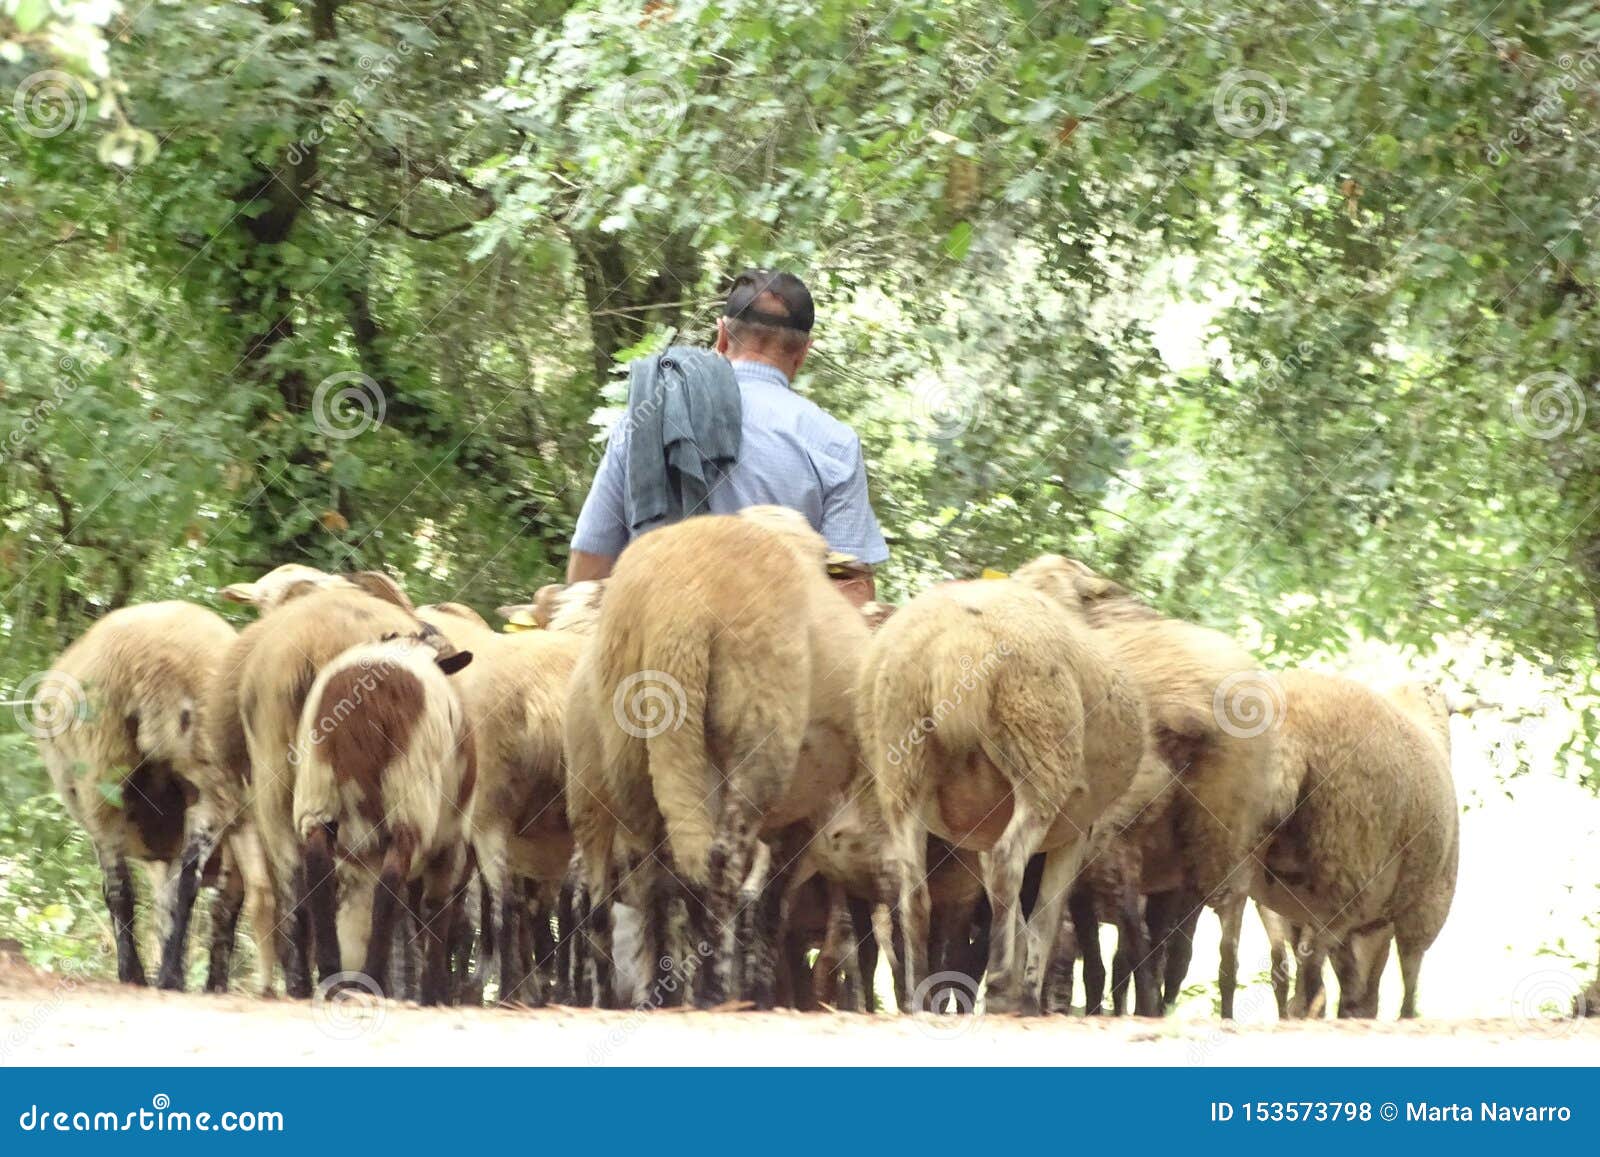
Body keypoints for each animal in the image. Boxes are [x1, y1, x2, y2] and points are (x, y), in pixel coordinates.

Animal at [34, 601, 241, 987]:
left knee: (121, 889)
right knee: (185, 884)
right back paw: (167, 976)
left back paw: (138, 974)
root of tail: (157, 662)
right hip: (206, 780)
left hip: (102, 777)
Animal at [294, 631, 476, 1004]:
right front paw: (434, 991)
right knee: (391, 885)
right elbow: (436, 909)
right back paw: (372, 978)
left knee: (319, 873)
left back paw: (334, 975)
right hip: (410, 795)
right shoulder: (451, 839)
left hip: (316, 793)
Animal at [859, 574, 1147, 1014]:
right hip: (1040, 758)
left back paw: (922, 994)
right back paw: (1000, 988)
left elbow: (1009, 912)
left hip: (902, 768)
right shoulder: (1074, 830)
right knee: (1008, 861)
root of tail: (956, 646)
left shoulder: (983, 824)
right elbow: (1045, 914)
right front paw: (1022, 988)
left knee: (916, 892)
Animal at [1010, 554, 1281, 1019]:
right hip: (1224, 826)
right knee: (1218, 933)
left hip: (1114, 832)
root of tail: (1189, 705)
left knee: (1130, 934)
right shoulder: (1168, 881)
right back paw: (1207, 1008)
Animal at [1257, 673, 1458, 1019]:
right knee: (1314, 959)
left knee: (1278, 960)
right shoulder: (1420, 909)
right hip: (1343, 862)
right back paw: (1309, 1009)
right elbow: (1401, 979)